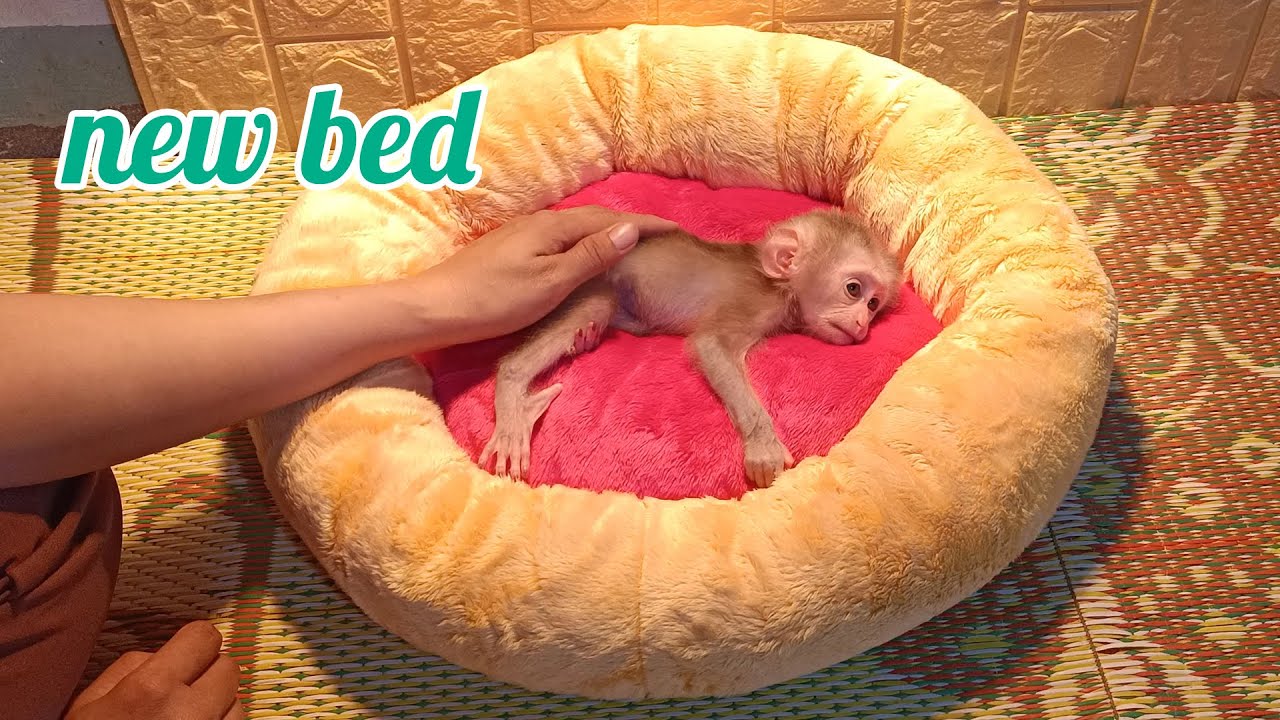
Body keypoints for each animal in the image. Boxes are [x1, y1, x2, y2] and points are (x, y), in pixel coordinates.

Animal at [478, 208, 903, 488]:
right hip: (587, 280)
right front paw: (762, 445)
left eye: (873, 304)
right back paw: (514, 396)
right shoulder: (752, 303)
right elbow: (709, 345)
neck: (780, 288)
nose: (862, 326)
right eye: (853, 289)